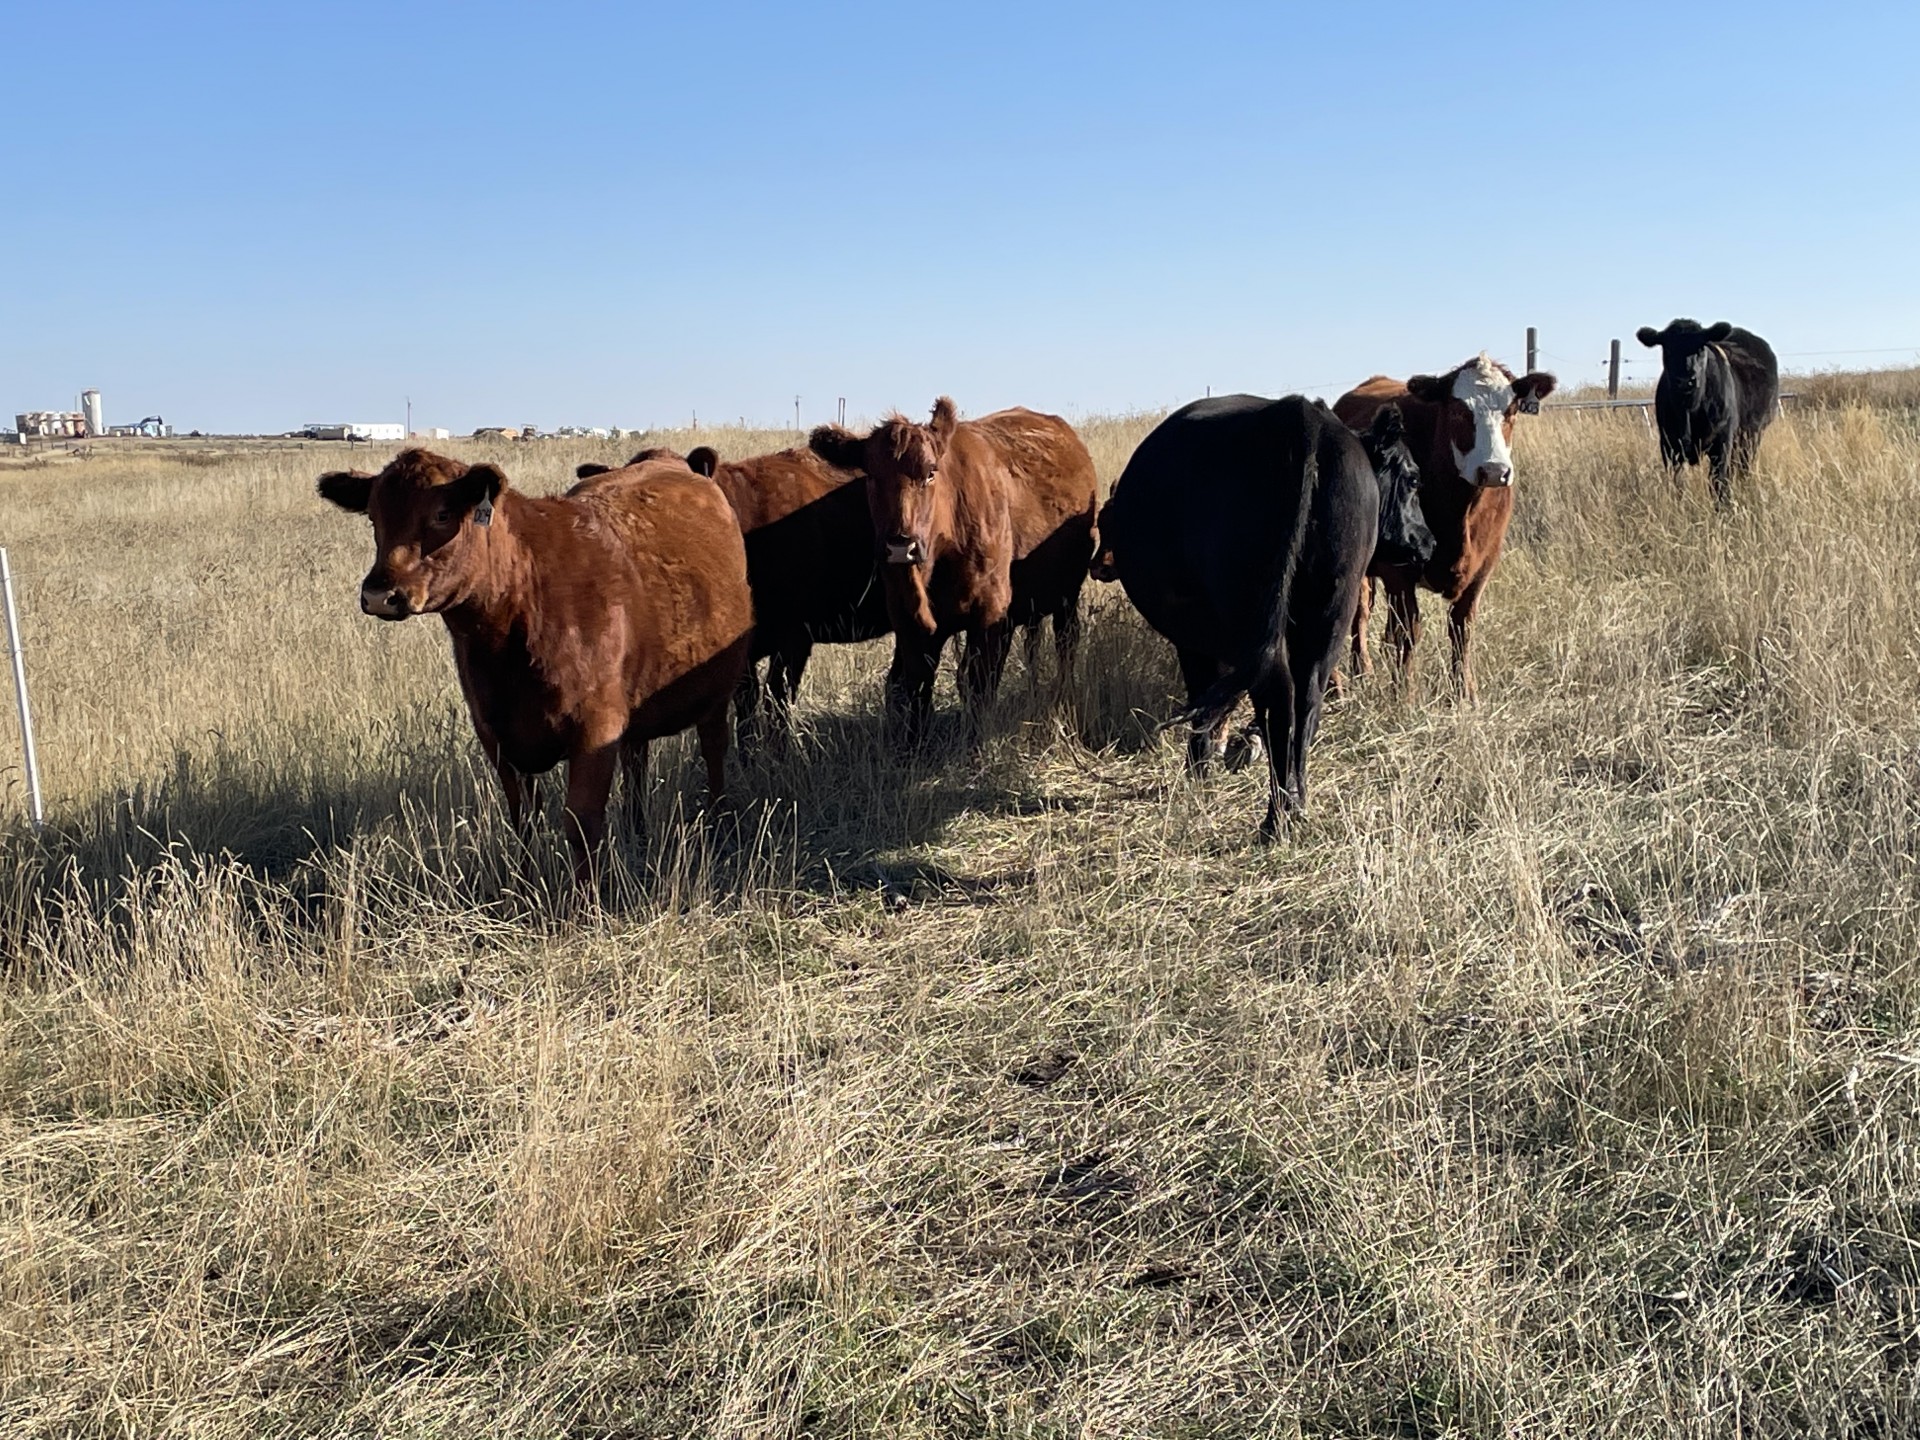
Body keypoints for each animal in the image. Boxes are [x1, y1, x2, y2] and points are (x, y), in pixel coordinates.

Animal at [318, 448, 752, 888]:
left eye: (442, 514)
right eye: (374, 517)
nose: (379, 594)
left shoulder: (596, 727)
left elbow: (581, 825)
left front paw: (585, 902)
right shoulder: (495, 733)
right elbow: (523, 820)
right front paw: (523, 891)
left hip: (718, 690)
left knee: (714, 750)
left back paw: (720, 826)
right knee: (636, 764)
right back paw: (638, 832)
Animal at [807, 398, 1098, 738]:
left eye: (931, 473)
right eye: (872, 476)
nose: (899, 545)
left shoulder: (989, 612)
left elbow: (979, 684)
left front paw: (976, 740)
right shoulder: (908, 621)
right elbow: (914, 687)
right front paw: (914, 742)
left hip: (1067, 597)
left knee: (1066, 643)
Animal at [1095, 394, 1379, 838]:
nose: (1099, 566)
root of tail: (1295, 411)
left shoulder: (1193, 639)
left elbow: (1204, 694)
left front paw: (1201, 765)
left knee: (1277, 696)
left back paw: (1275, 819)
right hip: (1333, 603)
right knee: (1308, 695)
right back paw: (1297, 801)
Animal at [1332, 353, 1557, 697]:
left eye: (1511, 410)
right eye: (1457, 411)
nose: (1494, 470)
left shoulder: (1483, 566)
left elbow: (1462, 627)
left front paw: (1465, 693)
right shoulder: (1398, 571)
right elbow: (1408, 629)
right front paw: (1405, 693)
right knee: (1359, 611)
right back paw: (1357, 674)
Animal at [1636, 319, 1779, 505]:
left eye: (1700, 348)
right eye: (1668, 349)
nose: (1685, 381)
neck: (1689, 409)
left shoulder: (1722, 441)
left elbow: (1718, 483)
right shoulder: (1668, 444)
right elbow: (1677, 484)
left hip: (1753, 435)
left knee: (1743, 467)